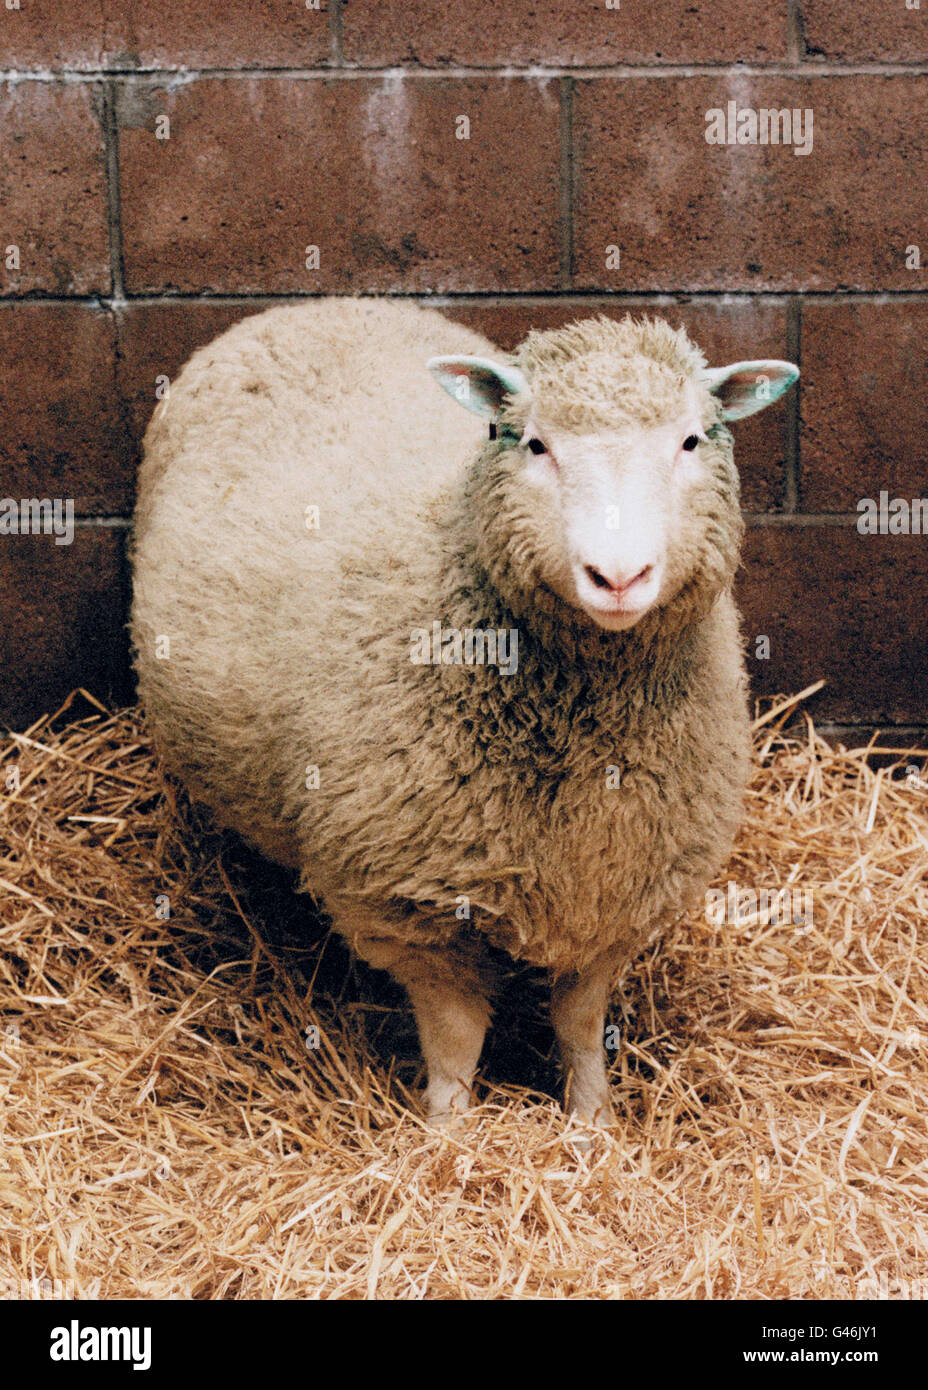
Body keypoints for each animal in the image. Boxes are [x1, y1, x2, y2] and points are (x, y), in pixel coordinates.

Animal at [130, 298, 798, 1129]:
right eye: (535, 443)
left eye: (690, 440)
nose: (617, 576)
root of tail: (316, 304)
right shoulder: (412, 902)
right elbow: (456, 1038)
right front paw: (449, 1134)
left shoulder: (619, 887)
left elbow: (580, 1022)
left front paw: (592, 1123)